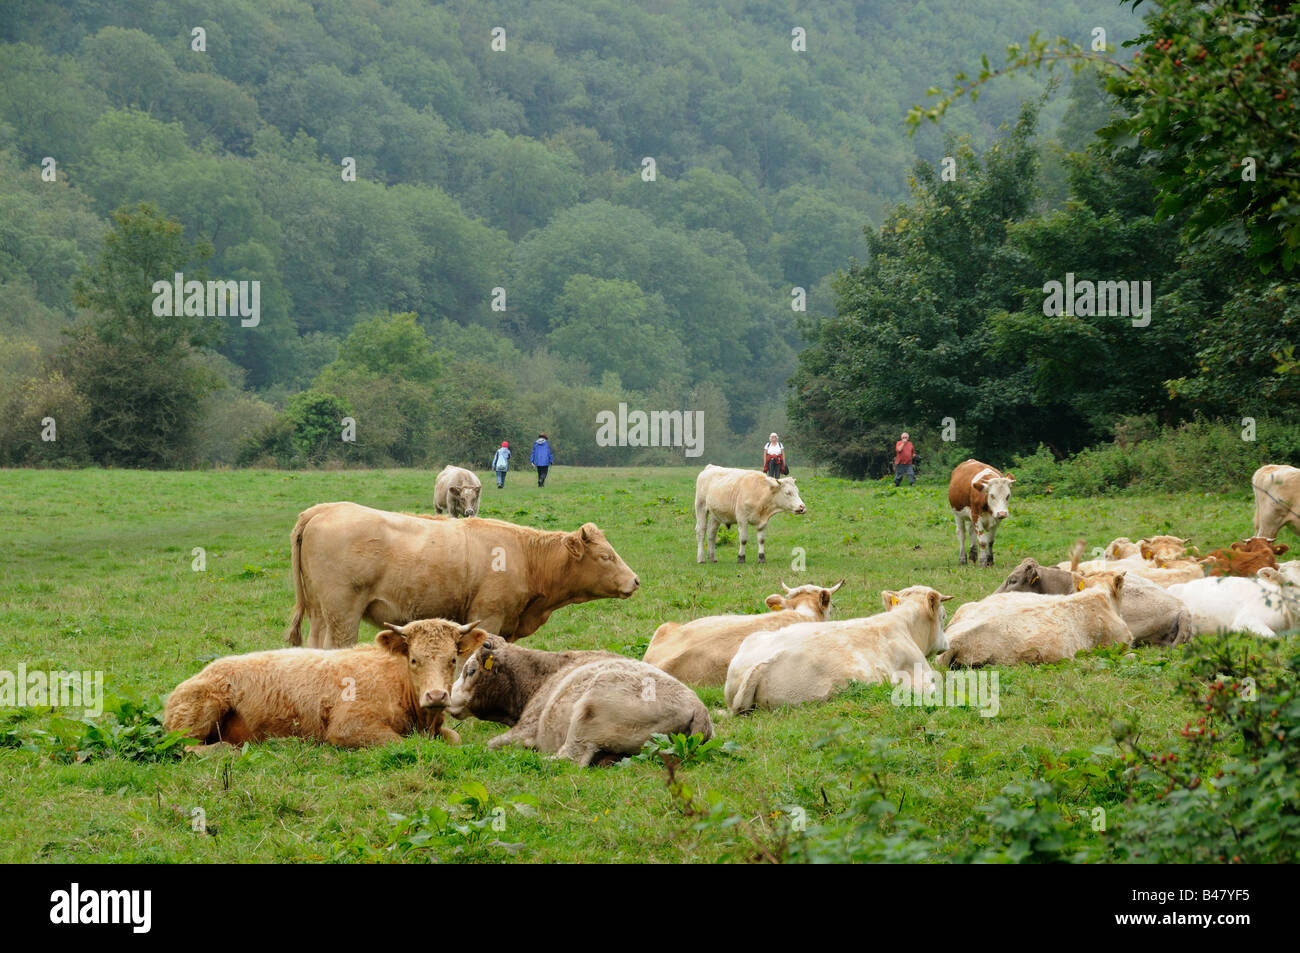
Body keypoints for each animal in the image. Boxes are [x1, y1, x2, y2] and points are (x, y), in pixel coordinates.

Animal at [164, 618, 488, 751]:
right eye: (414, 660)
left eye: (453, 660)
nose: (436, 695)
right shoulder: (349, 728)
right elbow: (399, 742)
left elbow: (455, 738)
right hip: (199, 716)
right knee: (187, 748)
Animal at [285, 502, 638, 649]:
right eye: (606, 556)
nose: (635, 580)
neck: (525, 556)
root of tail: (323, 509)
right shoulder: (489, 616)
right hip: (342, 614)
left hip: (320, 613)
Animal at [447, 636, 712, 766]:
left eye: (469, 671)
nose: (448, 696)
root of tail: (698, 706)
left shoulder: (527, 727)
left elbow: (490, 744)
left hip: (587, 716)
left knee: (570, 759)